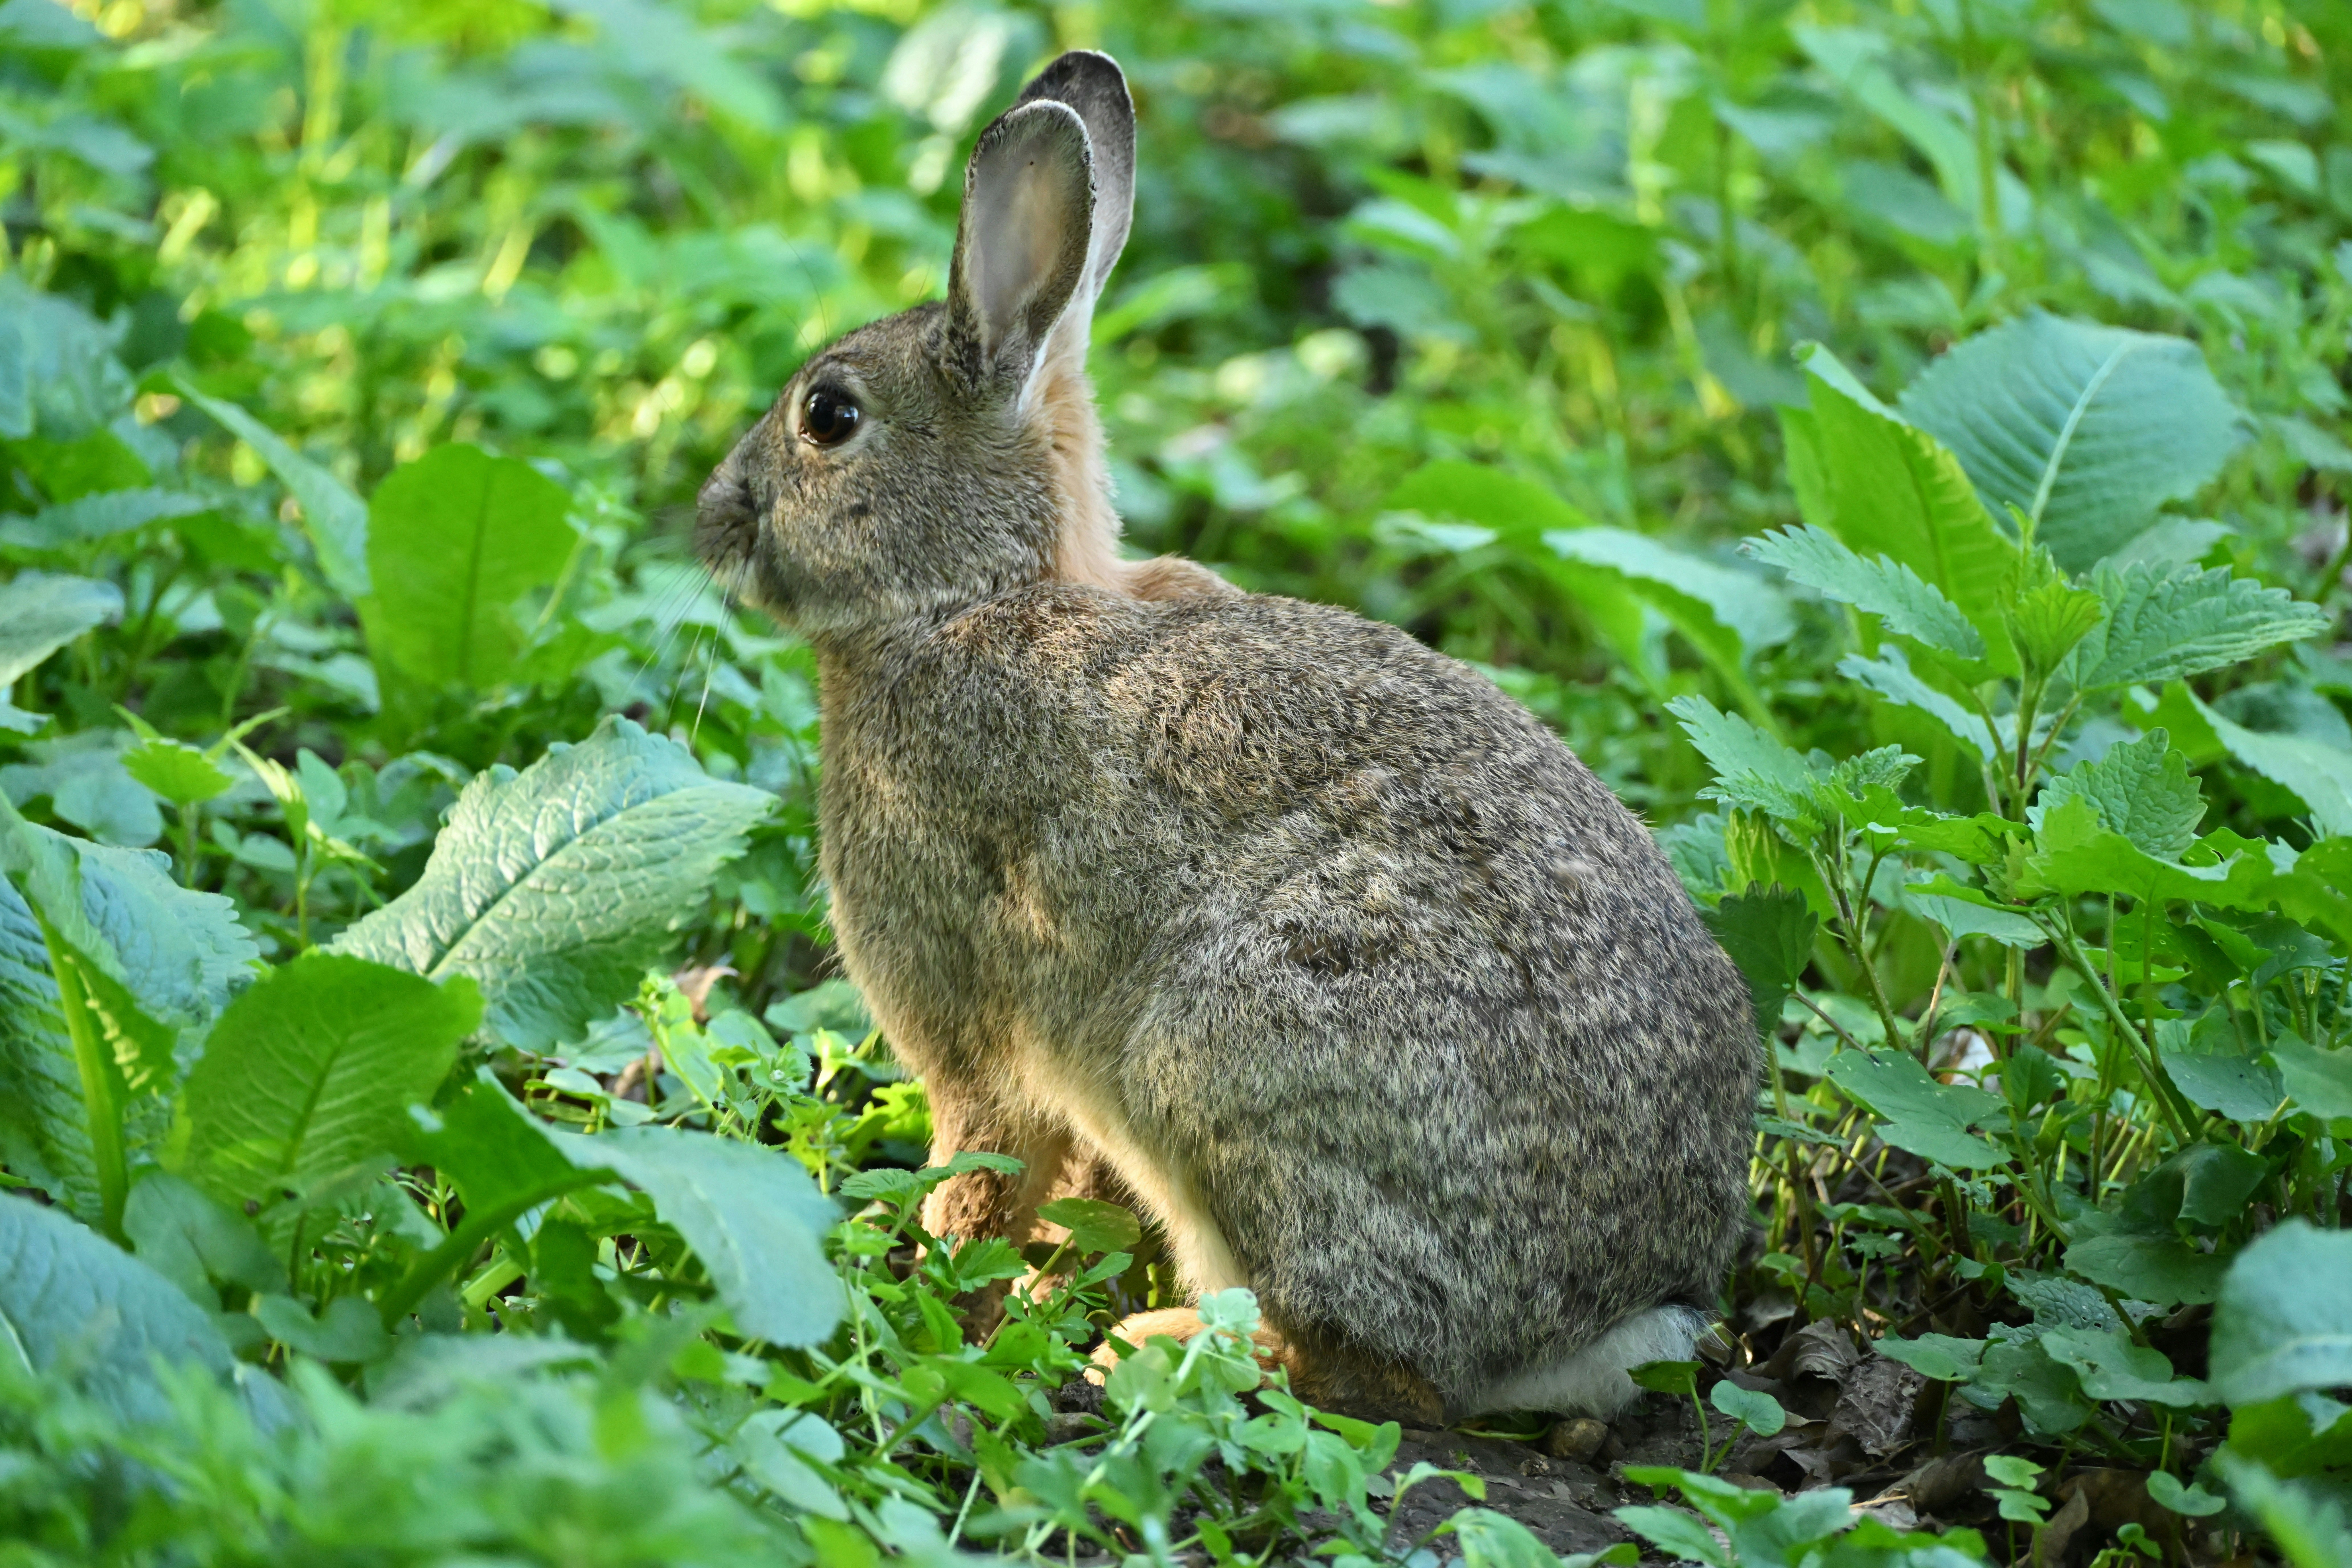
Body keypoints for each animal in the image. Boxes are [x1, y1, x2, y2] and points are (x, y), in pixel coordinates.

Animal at [696, 50, 1758, 1423]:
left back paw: (1147, 1344)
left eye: (827, 417)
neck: (967, 595)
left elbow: (981, 1169)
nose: (715, 514)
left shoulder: (967, 1021)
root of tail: (1615, 1313)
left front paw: (929, 1282)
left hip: (1219, 1066)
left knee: (1364, 1366)